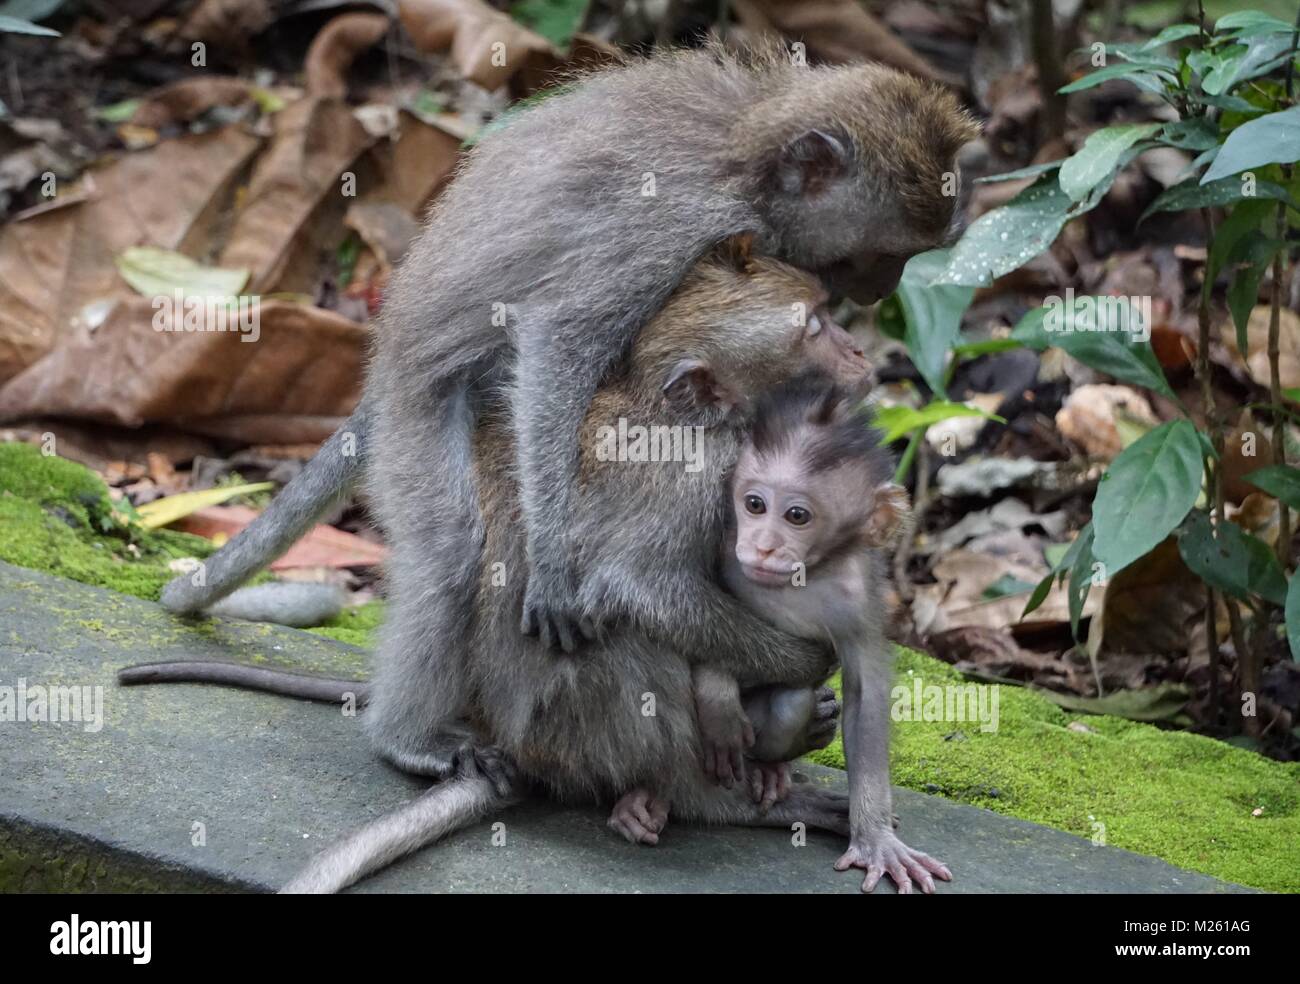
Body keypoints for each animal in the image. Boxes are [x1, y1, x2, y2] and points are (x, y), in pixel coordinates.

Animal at [156, 43, 979, 783]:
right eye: (887, 252)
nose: (878, 298)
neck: (747, 154)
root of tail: (383, 378)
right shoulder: (672, 227)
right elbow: (561, 341)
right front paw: (556, 559)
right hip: (416, 418)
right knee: (453, 551)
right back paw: (407, 739)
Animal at [691, 376, 950, 893]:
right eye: (754, 504)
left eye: (797, 516)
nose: (763, 546)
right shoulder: (725, 549)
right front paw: (718, 700)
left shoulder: (861, 599)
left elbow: (865, 700)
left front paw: (875, 838)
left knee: (792, 702)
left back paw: (769, 768)